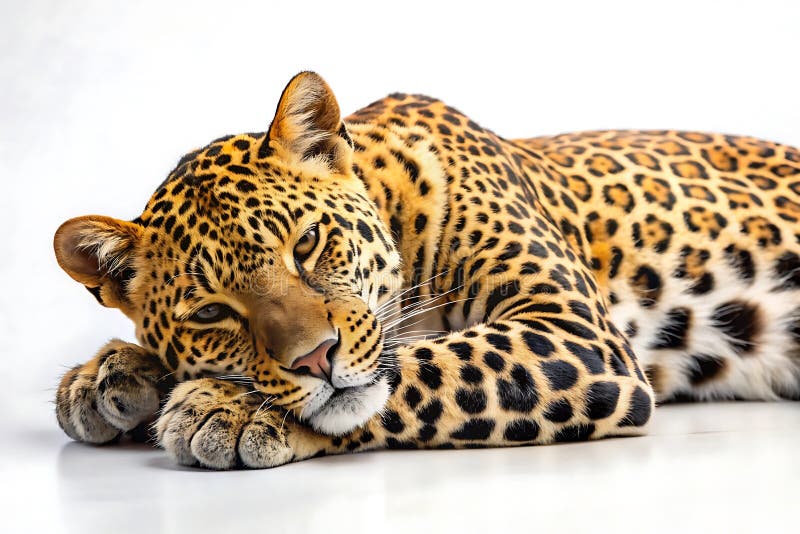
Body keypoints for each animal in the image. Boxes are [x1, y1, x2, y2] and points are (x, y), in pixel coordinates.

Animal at [53, 71, 800, 469]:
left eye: (309, 242)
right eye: (211, 312)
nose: (315, 359)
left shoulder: (573, 330)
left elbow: (423, 366)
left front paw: (223, 409)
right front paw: (108, 377)